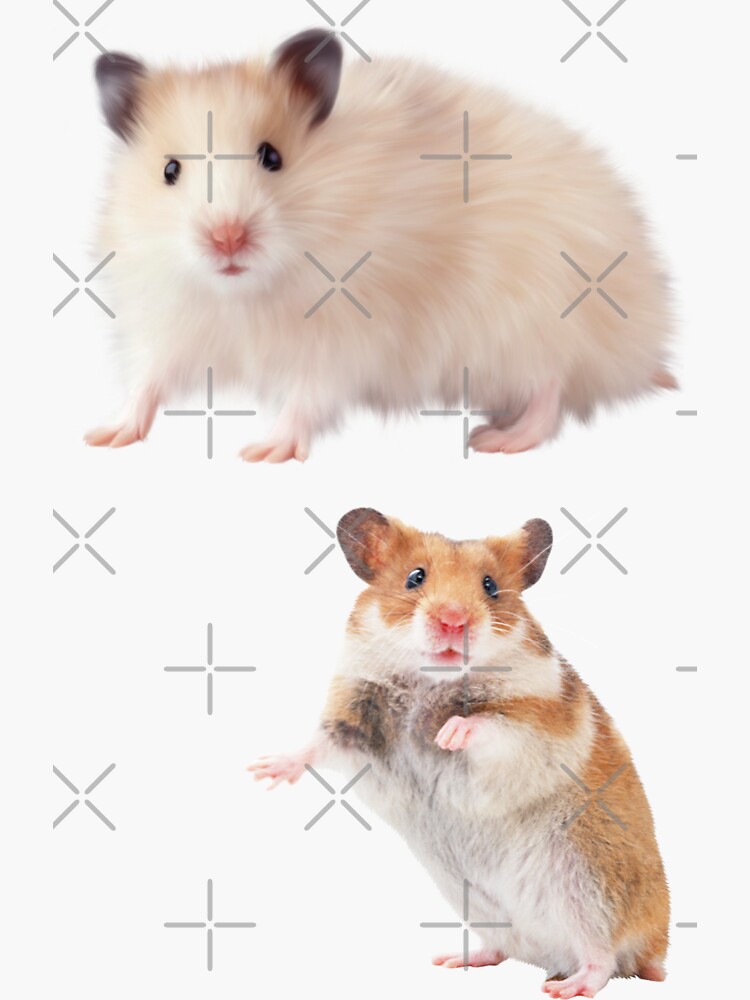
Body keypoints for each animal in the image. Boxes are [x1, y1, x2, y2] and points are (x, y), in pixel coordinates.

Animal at [87, 29, 676, 460]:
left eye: (272, 156)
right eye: (169, 170)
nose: (227, 238)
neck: (245, 294)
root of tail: (642, 344)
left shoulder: (344, 339)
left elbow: (307, 397)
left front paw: (263, 451)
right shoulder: (171, 324)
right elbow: (147, 381)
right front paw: (106, 436)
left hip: (537, 318)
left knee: (552, 386)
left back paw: (498, 439)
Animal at [249, 509, 669, 997]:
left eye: (490, 586)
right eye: (415, 577)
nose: (453, 620)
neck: (431, 679)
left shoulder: (535, 726)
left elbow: (490, 726)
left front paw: (448, 734)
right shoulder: (353, 721)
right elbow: (316, 745)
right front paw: (262, 770)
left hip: (589, 884)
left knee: (603, 957)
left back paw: (567, 987)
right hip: (478, 902)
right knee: (503, 948)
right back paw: (455, 960)